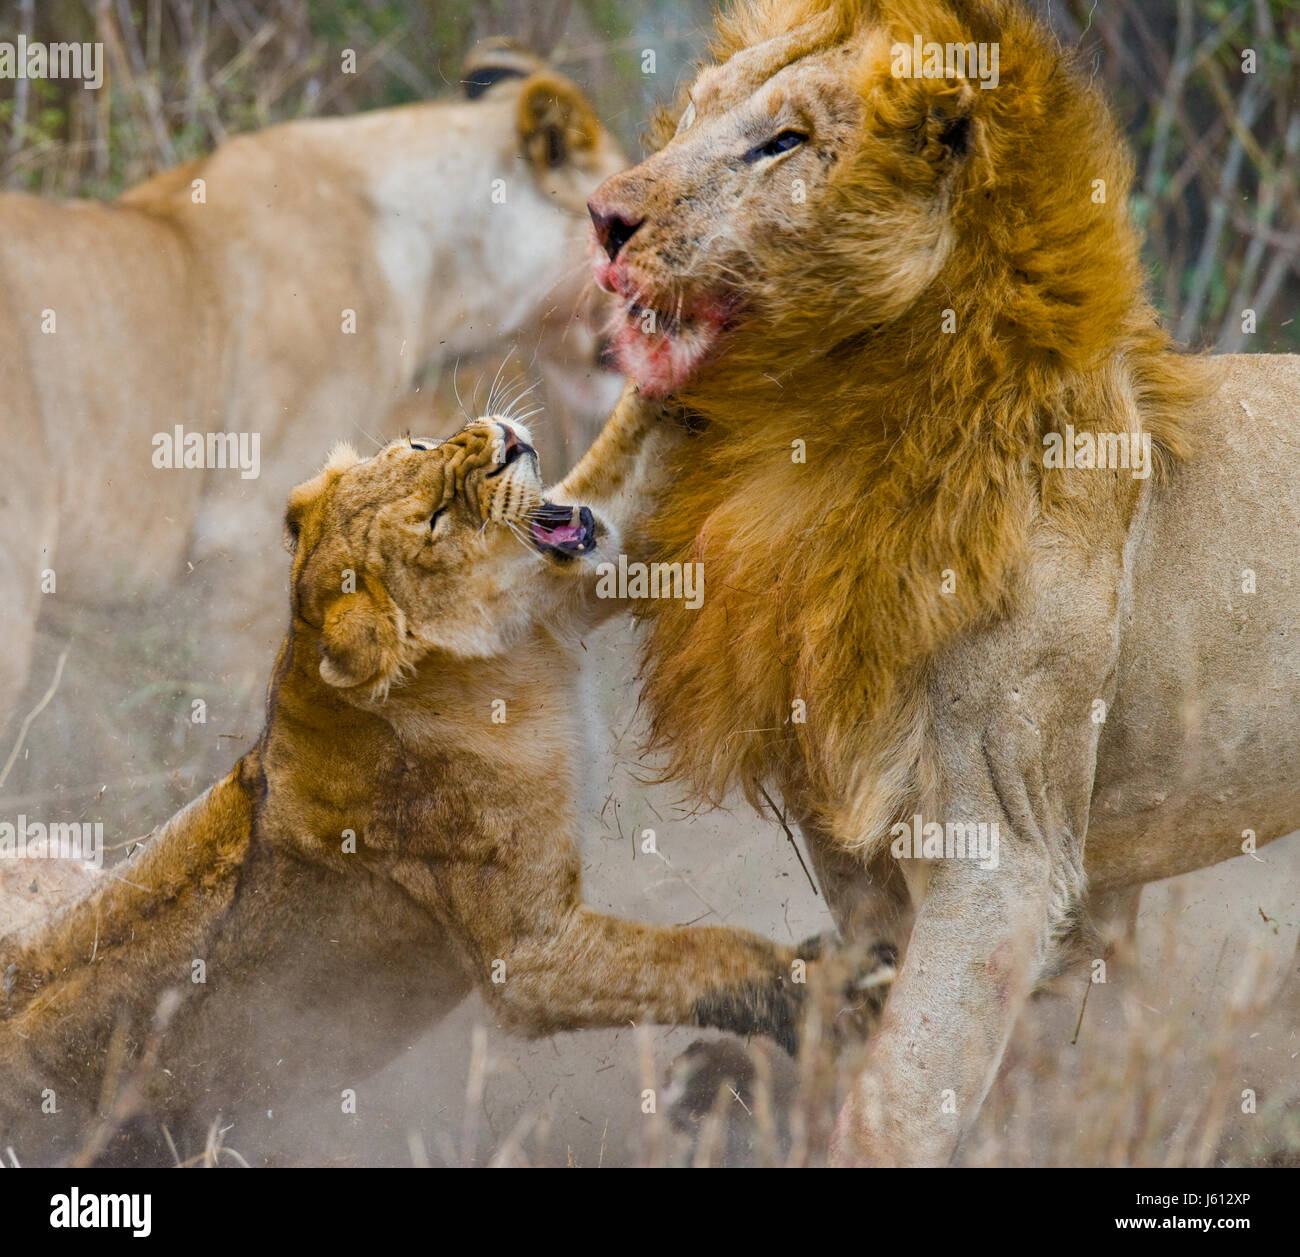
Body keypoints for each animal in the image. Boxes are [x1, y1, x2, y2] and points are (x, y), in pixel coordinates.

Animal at [0, 398, 885, 1166]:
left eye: (420, 445)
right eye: (434, 520)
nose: (502, 438)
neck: (505, 650)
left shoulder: (575, 581)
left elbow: (616, 466)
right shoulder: (526, 956)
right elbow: (695, 954)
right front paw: (829, 991)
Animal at [582, 0, 1300, 1165]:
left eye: (784, 143)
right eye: (688, 116)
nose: (604, 218)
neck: (826, 434)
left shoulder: (1002, 847)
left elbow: (898, 1102)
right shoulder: (853, 833)